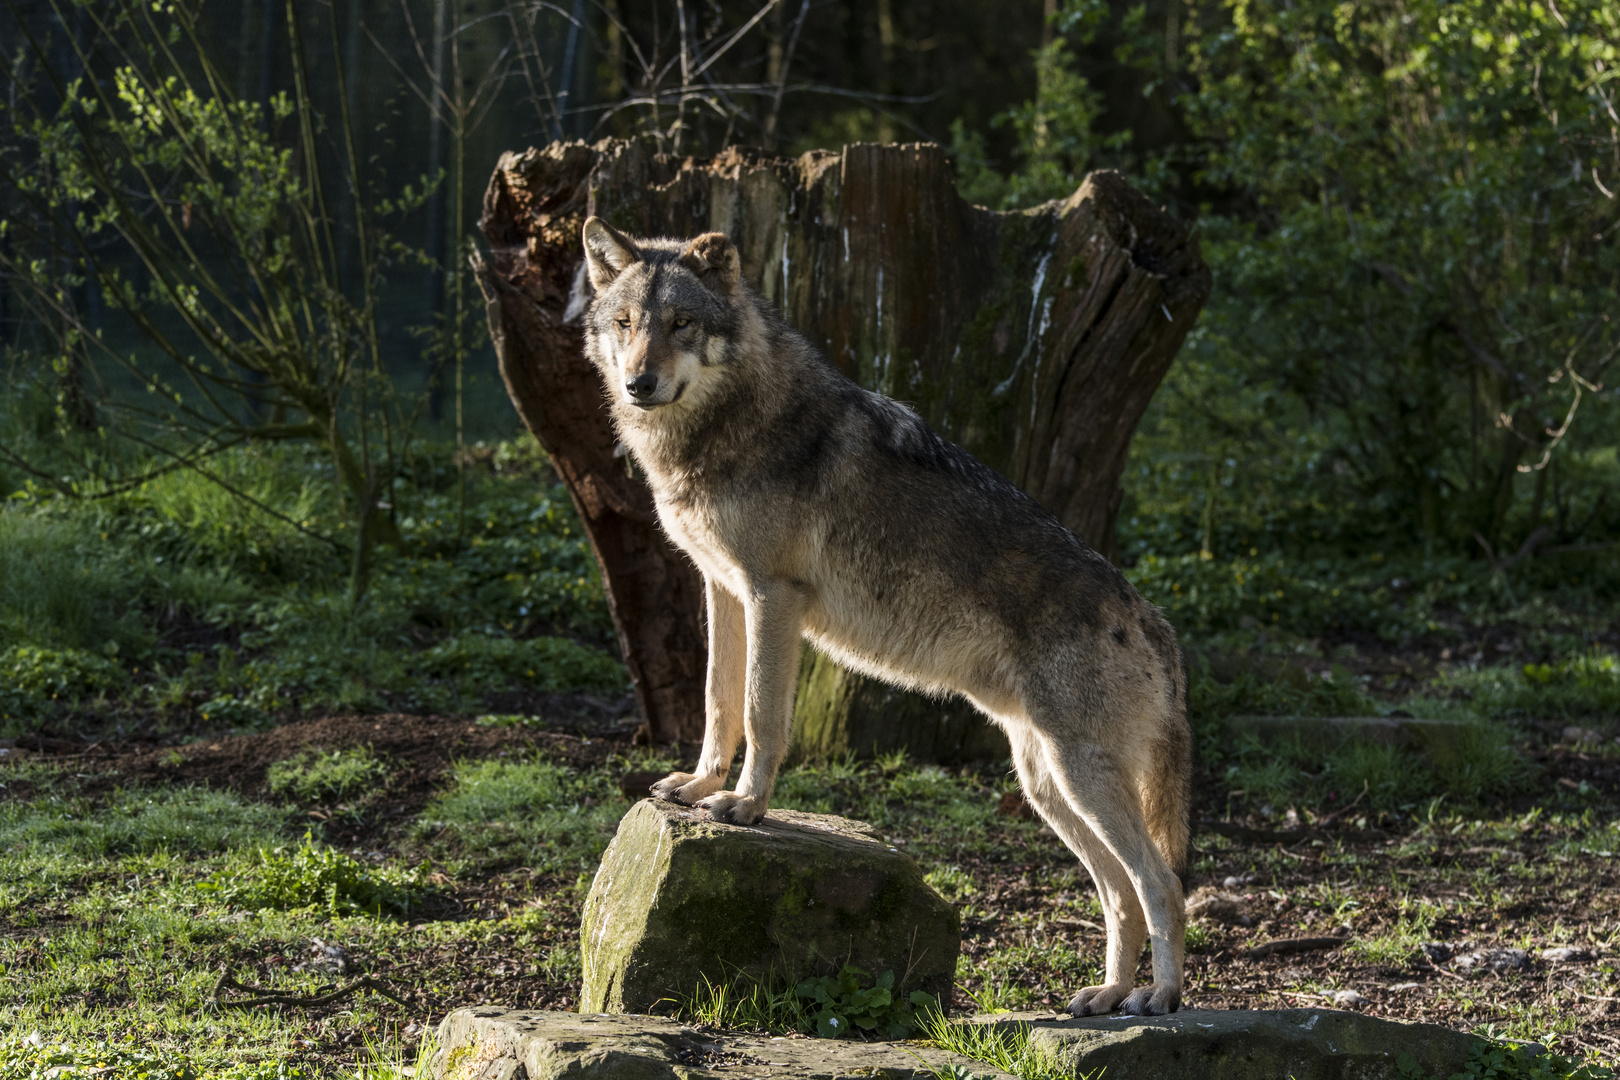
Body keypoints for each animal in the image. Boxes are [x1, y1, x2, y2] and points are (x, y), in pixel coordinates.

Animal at [579, 213, 1192, 1016]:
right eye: (625, 323)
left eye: (681, 324)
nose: (638, 383)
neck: (730, 422)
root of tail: (1154, 621)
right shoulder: (722, 588)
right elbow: (717, 705)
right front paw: (702, 787)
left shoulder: (773, 594)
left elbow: (761, 715)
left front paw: (746, 806)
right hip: (1048, 785)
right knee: (1121, 894)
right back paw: (1107, 995)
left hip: (1078, 778)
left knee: (1164, 884)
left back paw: (1159, 998)